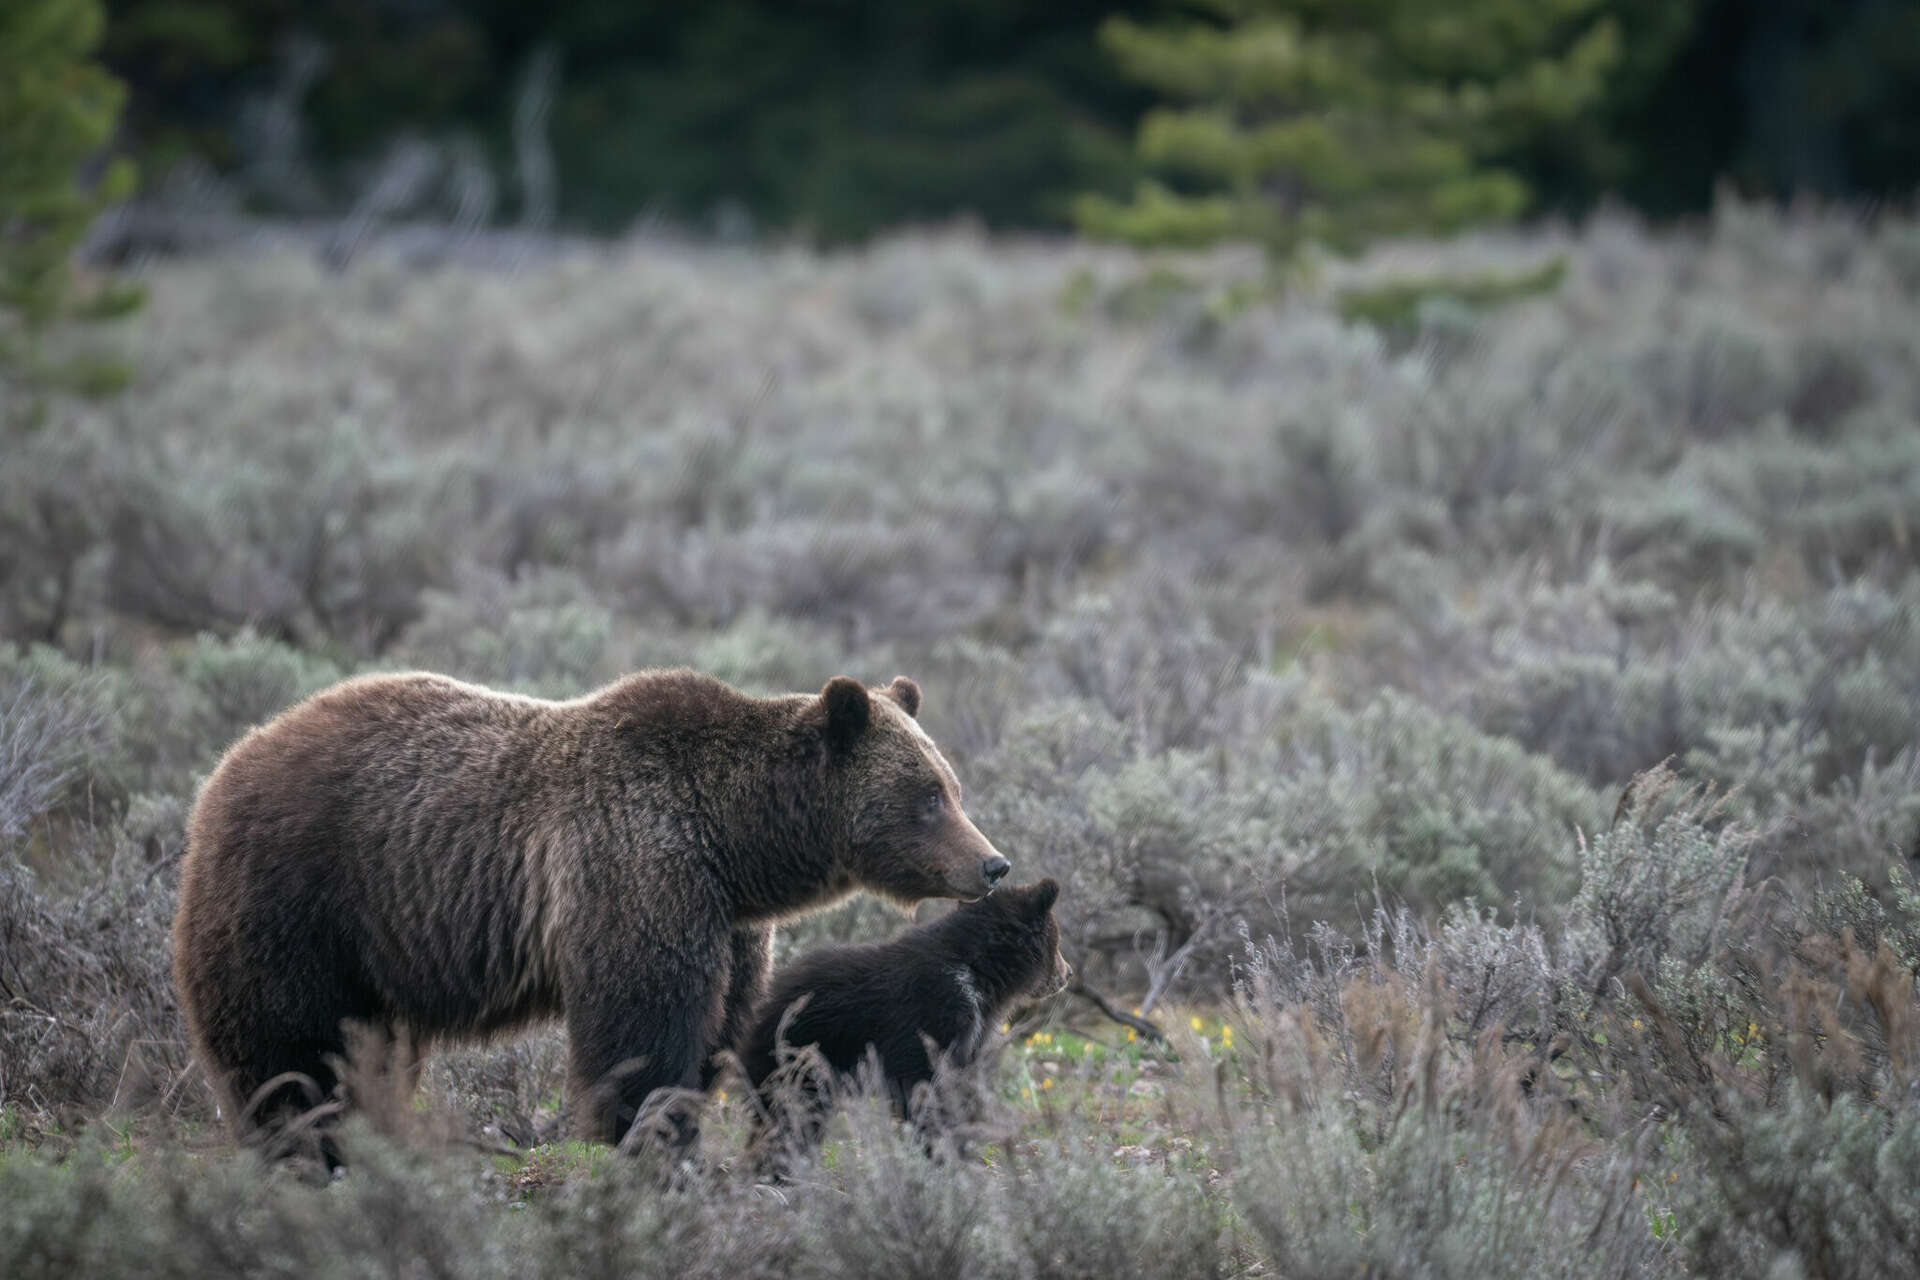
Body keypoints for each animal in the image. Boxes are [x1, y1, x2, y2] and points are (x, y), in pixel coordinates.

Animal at [170, 667, 1010, 1160]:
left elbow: (717, 1026)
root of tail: (229, 762)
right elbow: (640, 1024)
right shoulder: (638, 865)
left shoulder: (728, 921)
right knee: (287, 1044)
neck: (736, 842)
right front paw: (642, 1137)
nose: (992, 863)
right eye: (927, 796)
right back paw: (302, 1143)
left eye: (952, 787)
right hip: (301, 898)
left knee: (366, 1048)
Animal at [736, 877, 1070, 1166]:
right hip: (802, 1053)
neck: (977, 974)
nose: (1067, 974)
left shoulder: (971, 1033)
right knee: (789, 1112)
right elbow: (927, 1088)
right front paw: (944, 1154)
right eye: (1057, 941)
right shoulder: (933, 1015)